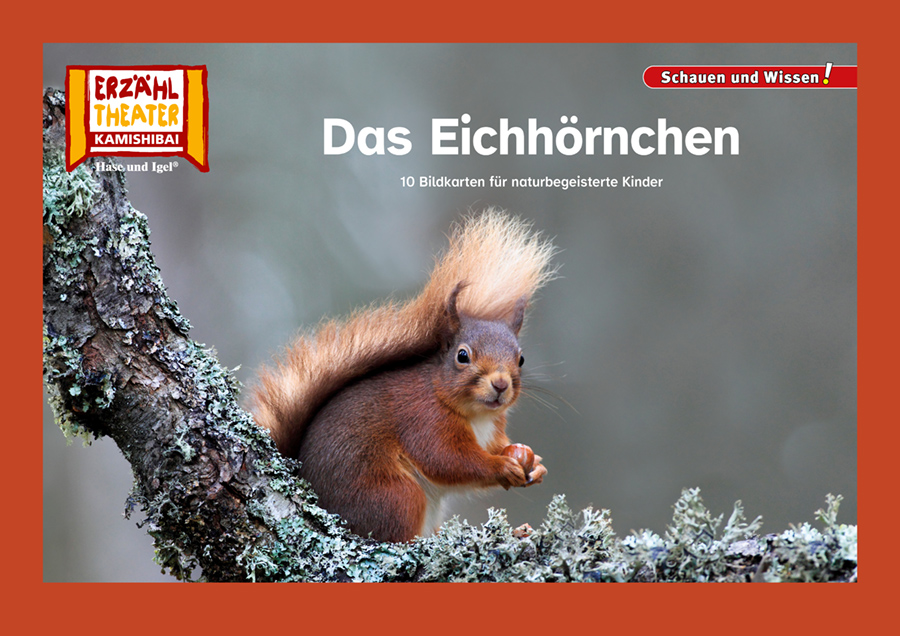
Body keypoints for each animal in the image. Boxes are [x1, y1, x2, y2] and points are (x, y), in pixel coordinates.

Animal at [248, 209, 557, 543]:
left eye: (521, 358)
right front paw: (501, 466)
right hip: (396, 496)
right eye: (462, 356)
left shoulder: (491, 430)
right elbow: (449, 460)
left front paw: (532, 461)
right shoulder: (424, 421)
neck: (476, 415)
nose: (500, 384)